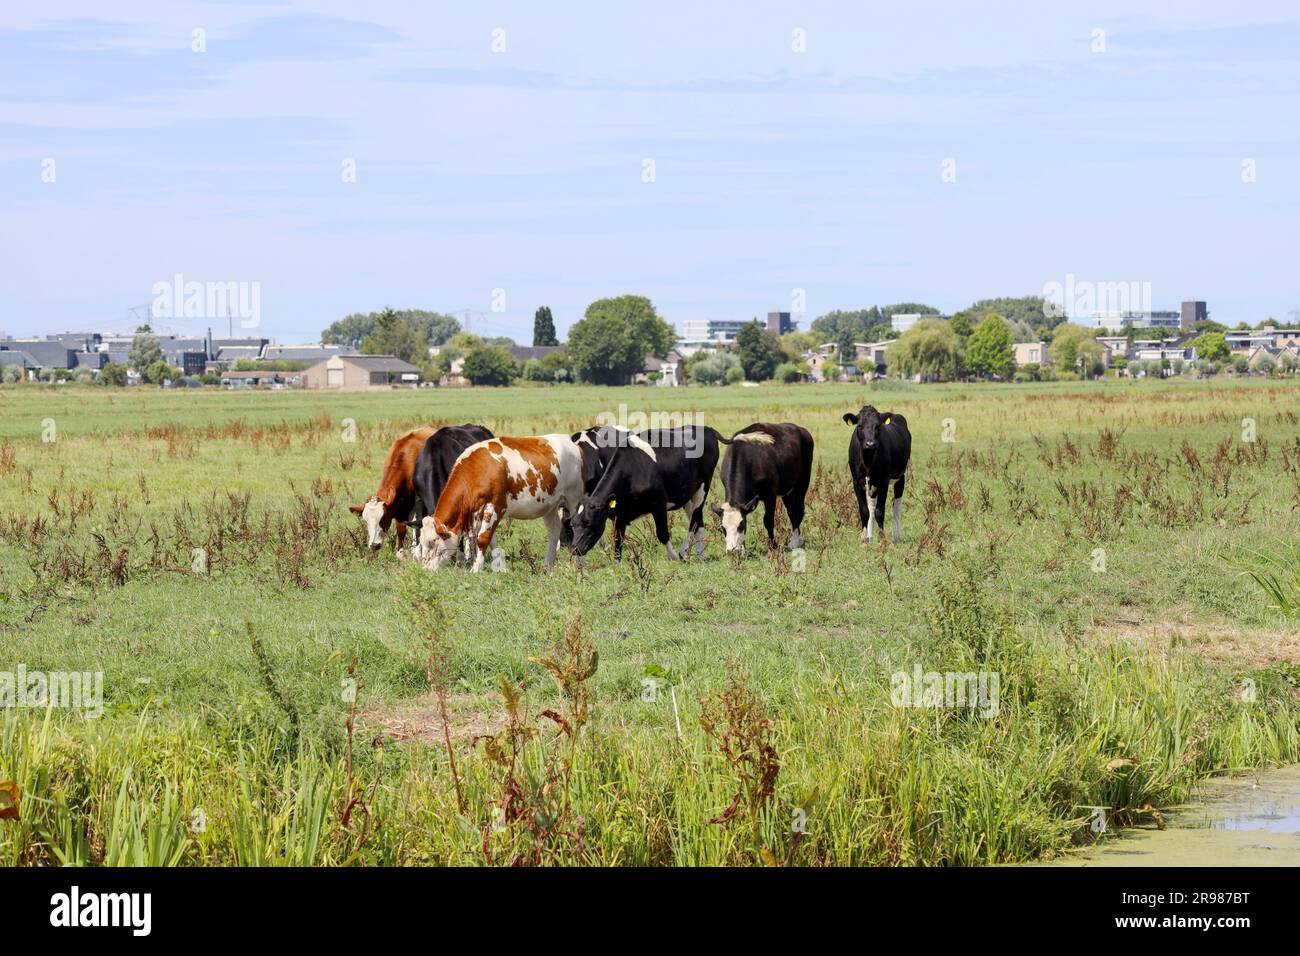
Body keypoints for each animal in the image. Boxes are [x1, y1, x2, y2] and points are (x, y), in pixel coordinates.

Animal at [418, 435, 586, 572]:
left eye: (433, 541)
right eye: (421, 542)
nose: (425, 569)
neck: (476, 471)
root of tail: (572, 444)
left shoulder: (495, 507)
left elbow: (482, 539)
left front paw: (475, 569)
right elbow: (491, 541)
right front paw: (499, 565)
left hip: (573, 498)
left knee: (578, 526)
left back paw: (581, 564)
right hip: (550, 506)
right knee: (554, 532)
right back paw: (547, 565)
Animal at [568, 425, 720, 562]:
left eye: (588, 523)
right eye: (573, 524)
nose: (575, 549)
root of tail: (707, 429)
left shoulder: (659, 504)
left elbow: (663, 534)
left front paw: (674, 557)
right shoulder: (619, 514)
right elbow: (617, 541)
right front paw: (617, 566)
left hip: (702, 489)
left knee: (694, 521)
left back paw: (683, 552)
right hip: (688, 496)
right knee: (698, 522)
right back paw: (700, 555)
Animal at [709, 423, 814, 554]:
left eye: (741, 525)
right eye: (723, 528)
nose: (733, 551)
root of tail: (801, 430)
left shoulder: (770, 494)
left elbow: (768, 520)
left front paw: (773, 547)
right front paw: (743, 549)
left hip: (803, 482)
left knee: (799, 510)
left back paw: (795, 542)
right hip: (787, 490)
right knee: (791, 511)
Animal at [842, 405, 911, 543]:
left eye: (878, 426)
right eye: (860, 426)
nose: (870, 444)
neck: (868, 461)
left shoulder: (884, 481)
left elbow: (880, 511)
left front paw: (882, 539)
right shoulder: (857, 482)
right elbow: (865, 511)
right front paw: (864, 539)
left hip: (901, 476)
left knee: (897, 505)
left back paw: (896, 536)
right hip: (872, 484)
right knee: (871, 506)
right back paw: (870, 535)